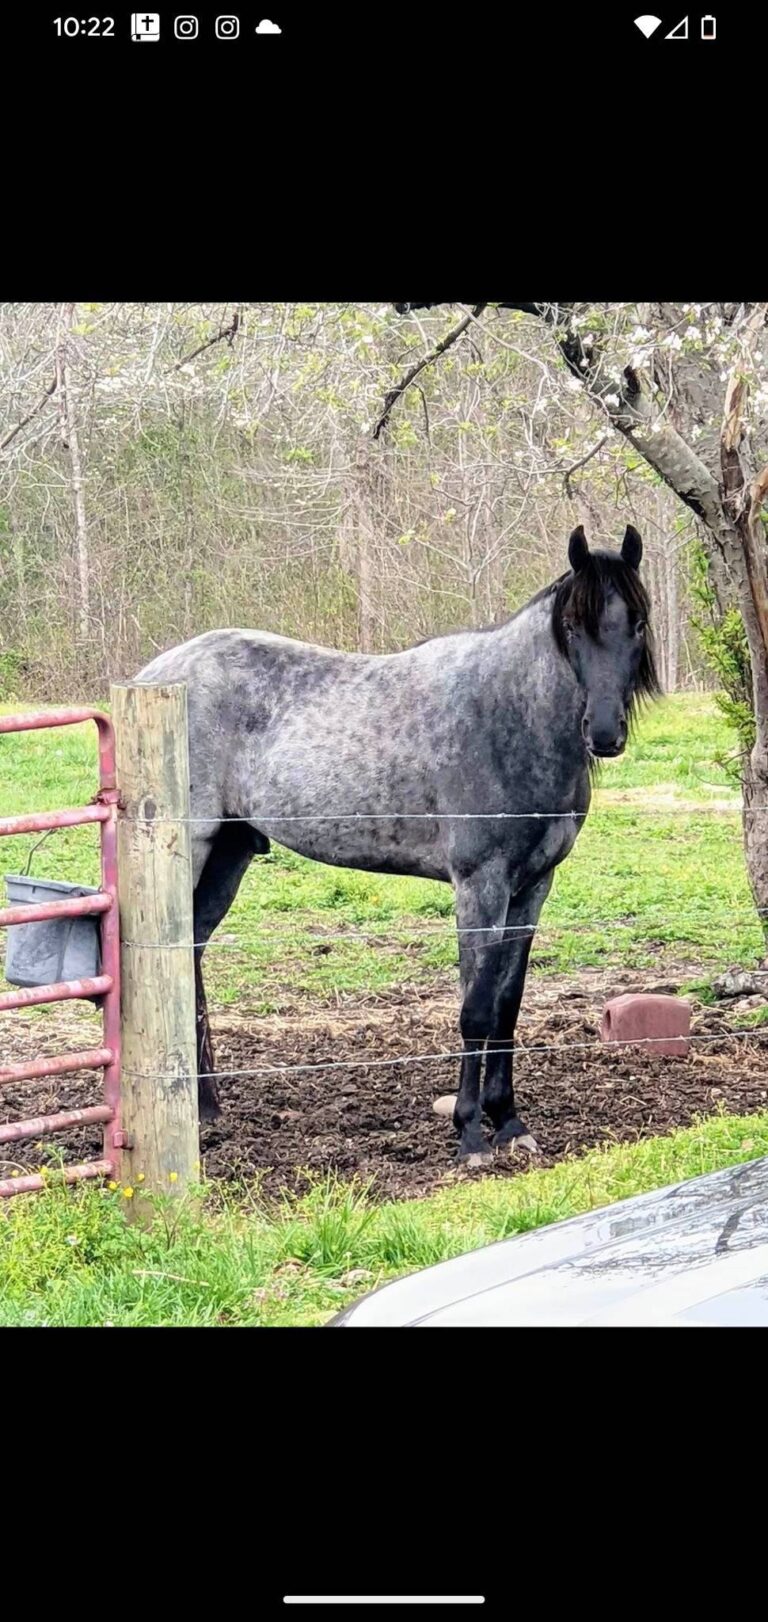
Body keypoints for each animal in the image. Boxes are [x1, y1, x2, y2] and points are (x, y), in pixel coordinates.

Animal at [134, 524, 658, 1165]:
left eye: (637, 622)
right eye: (575, 627)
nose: (604, 733)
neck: (508, 714)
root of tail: (154, 676)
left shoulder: (532, 888)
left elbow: (507, 1004)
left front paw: (510, 1123)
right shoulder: (480, 885)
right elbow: (475, 1008)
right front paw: (470, 1134)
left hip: (228, 854)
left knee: (191, 953)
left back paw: (207, 1107)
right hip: (191, 850)